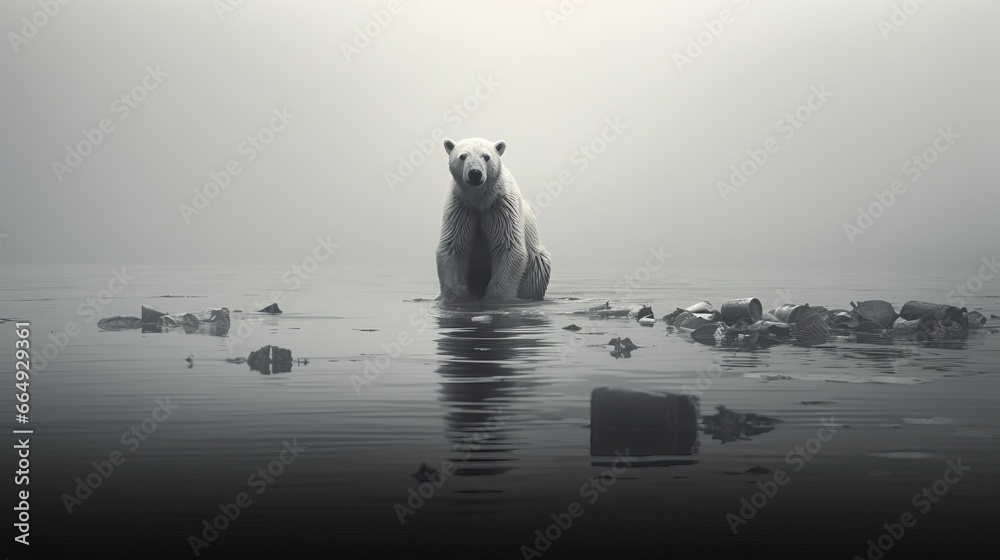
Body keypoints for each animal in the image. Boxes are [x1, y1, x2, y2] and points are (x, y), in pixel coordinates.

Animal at [436, 137, 551, 304]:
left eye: (486, 156)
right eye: (462, 156)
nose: (475, 174)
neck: (479, 200)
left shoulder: (501, 207)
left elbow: (508, 247)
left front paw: (495, 299)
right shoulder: (460, 208)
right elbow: (453, 247)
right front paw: (458, 298)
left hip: (535, 263)